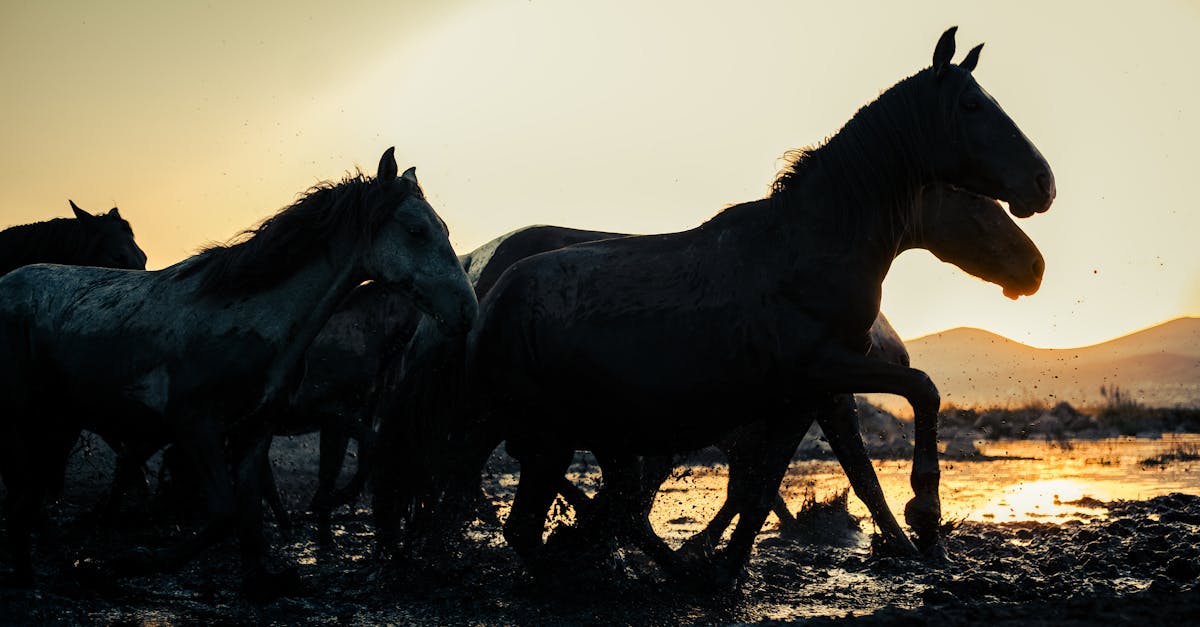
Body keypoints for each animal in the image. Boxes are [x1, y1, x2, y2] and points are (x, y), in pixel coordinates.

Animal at [379, 24, 1056, 581]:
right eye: (971, 105)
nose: (1043, 185)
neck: (808, 246)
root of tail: (483, 299)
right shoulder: (826, 372)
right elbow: (920, 393)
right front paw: (924, 516)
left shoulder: (799, 396)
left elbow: (760, 491)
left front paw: (724, 573)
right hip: (546, 432)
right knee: (514, 512)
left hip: (551, 430)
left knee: (501, 499)